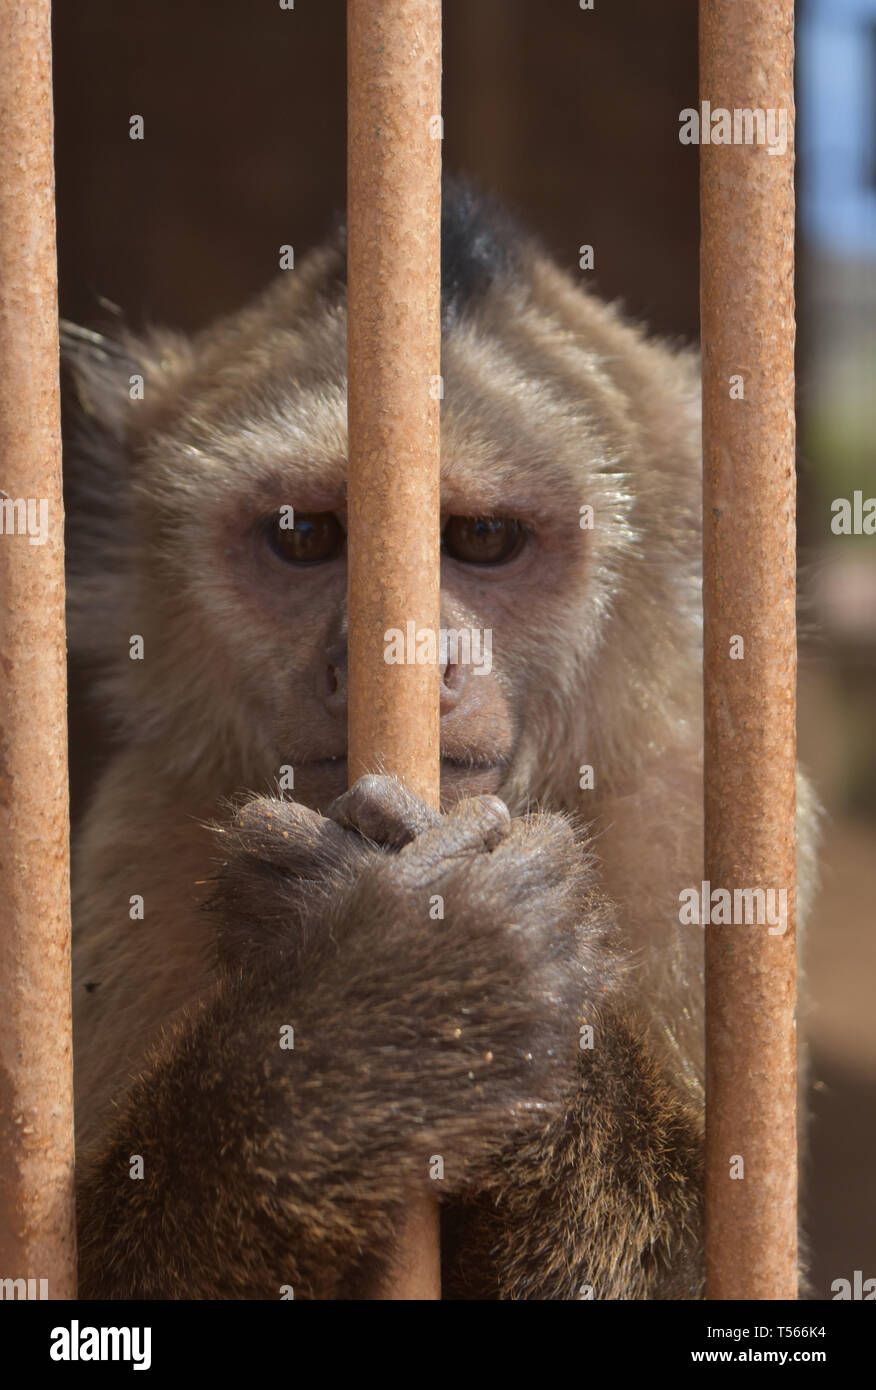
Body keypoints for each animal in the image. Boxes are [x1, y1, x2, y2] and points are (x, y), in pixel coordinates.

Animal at [64, 181, 817, 1299]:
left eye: (484, 540)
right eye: (302, 536)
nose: (400, 657)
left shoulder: (688, 811)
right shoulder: (147, 821)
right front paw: (384, 999)